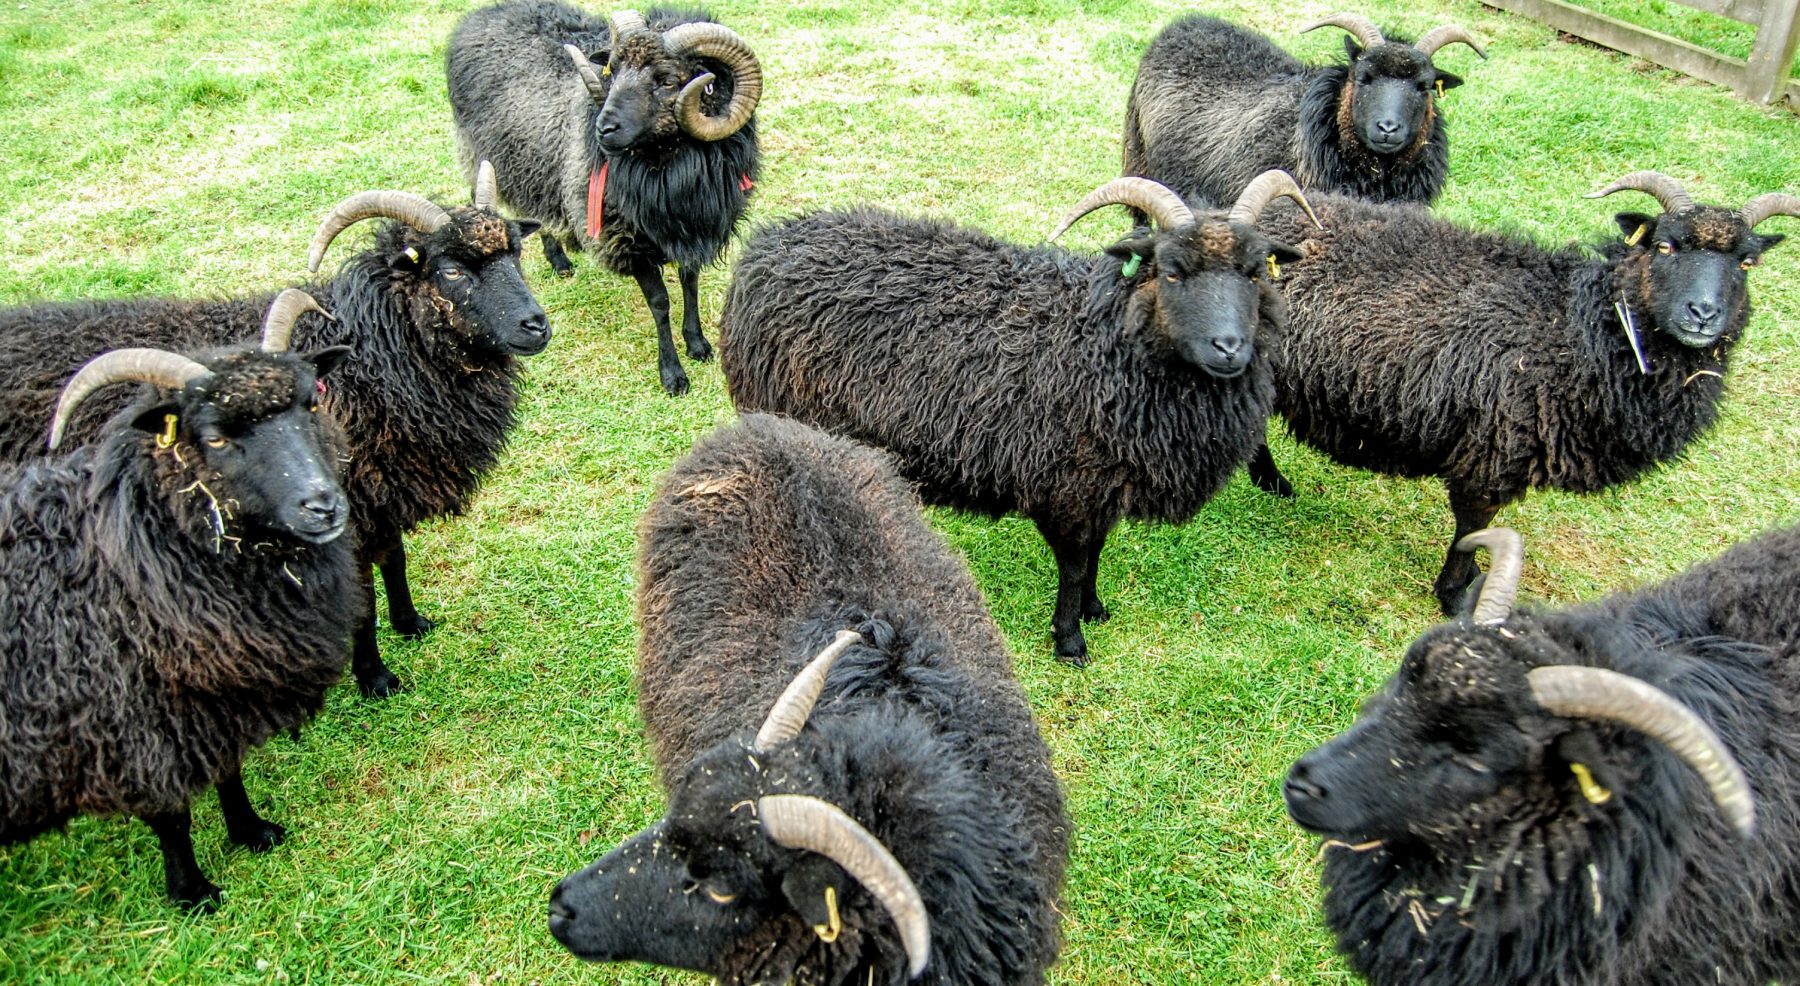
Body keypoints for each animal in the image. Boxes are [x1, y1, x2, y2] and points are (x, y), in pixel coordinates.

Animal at [0, 165, 550, 698]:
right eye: (451, 269)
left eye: (516, 252)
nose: (537, 325)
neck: (371, 356)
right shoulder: (343, 506)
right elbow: (363, 597)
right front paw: (375, 678)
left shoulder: (381, 491)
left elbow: (394, 560)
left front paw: (411, 624)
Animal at [1, 299, 364, 909]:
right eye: (214, 438)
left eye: (310, 403)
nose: (323, 505)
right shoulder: (139, 725)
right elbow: (172, 817)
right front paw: (192, 892)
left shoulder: (219, 699)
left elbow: (229, 772)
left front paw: (251, 832)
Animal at [447, 3, 762, 396]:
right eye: (613, 71)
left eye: (667, 80)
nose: (603, 128)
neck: (669, 169)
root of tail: (481, 15)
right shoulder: (627, 241)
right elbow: (660, 303)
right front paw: (672, 373)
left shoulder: (695, 227)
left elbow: (690, 284)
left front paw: (698, 343)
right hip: (499, 161)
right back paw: (559, 259)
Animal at [719, 172, 1318, 664]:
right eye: (1171, 271)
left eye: (1254, 272)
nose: (1230, 348)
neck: (1103, 342)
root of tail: (764, 247)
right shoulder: (1064, 488)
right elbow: (1073, 566)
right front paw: (1070, 641)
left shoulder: (1101, 485)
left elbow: (1096, 555)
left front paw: (1095, 609)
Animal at [1245, 172, 1798, 614]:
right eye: (1664, 246)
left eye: (1747, 263)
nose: (1702, 314)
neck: (1577, 328)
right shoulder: (1492, 452)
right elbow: (1470, 528)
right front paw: (1455, 596)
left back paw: (1270, 482)